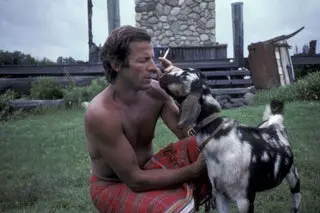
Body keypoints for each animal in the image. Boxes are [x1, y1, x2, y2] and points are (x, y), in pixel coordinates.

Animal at [159, 68, 302, 213]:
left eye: (183, 75)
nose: (161, 75)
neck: (218, 135)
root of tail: (275, 122)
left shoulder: (245, 199)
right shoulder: (219, 194)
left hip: (293, 175)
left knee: (296, 198)